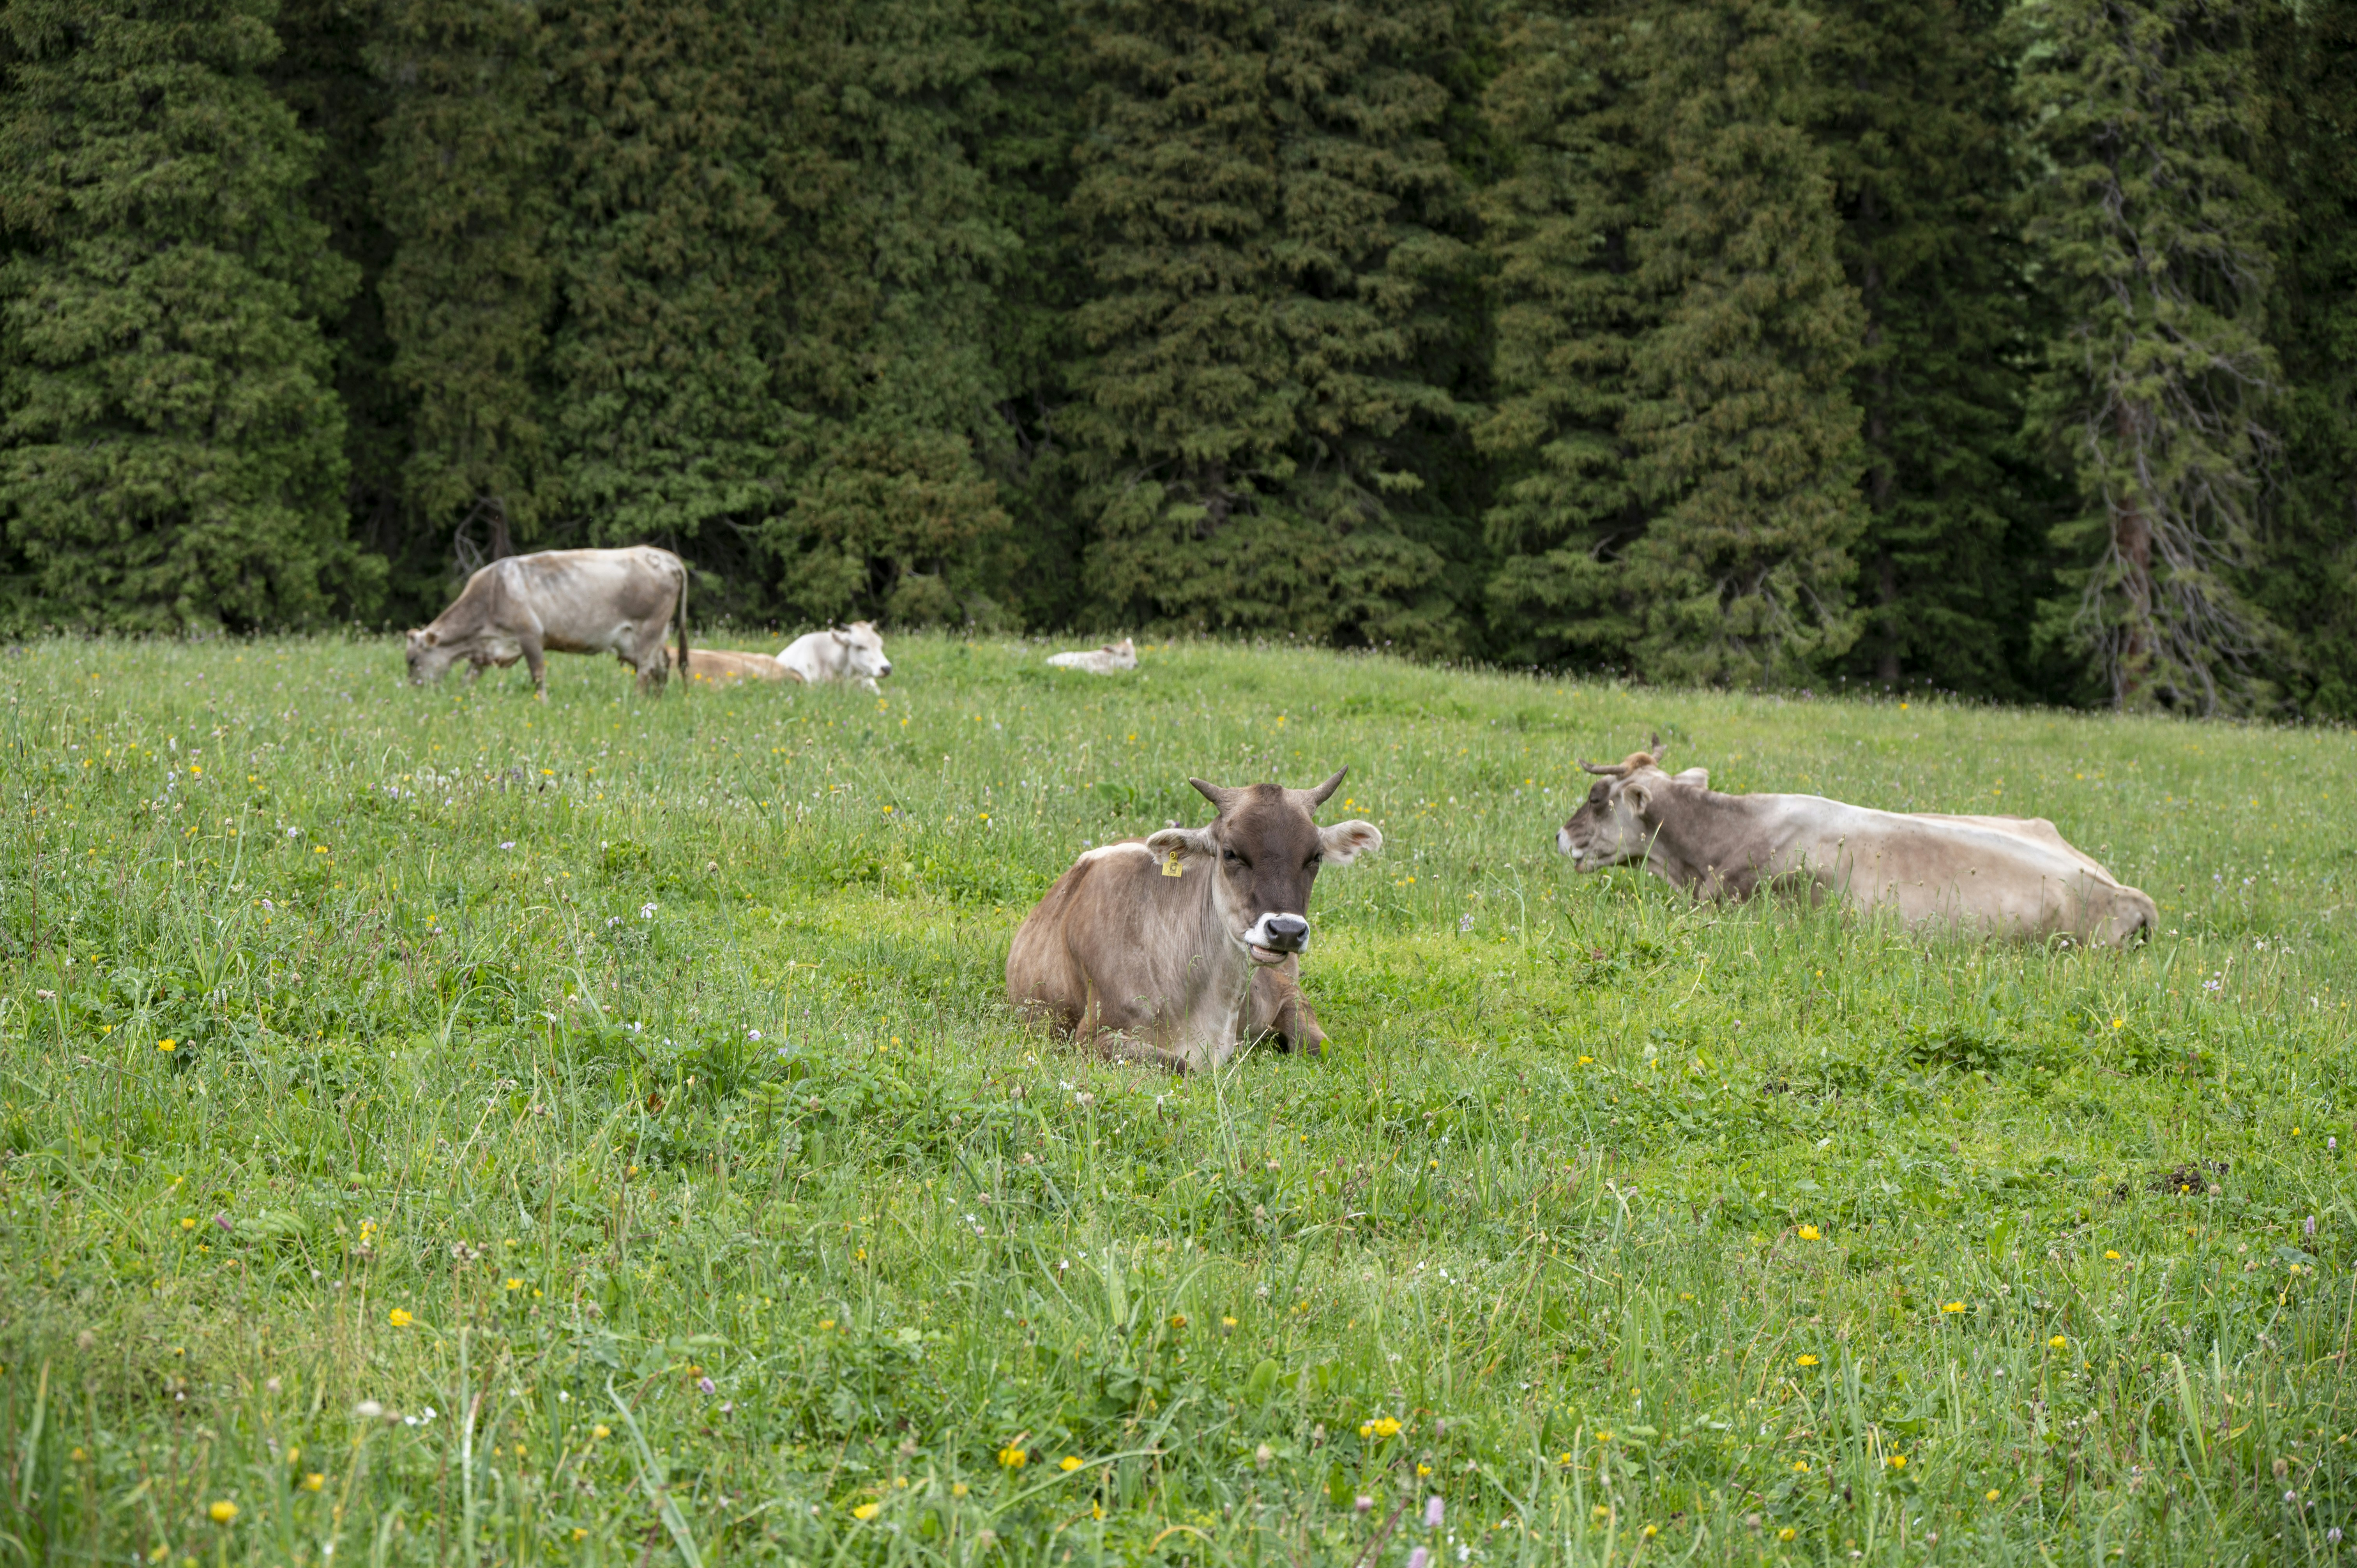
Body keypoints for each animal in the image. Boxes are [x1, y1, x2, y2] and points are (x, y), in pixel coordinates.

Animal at [406, 547, 687, 699]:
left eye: (412, 660)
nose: (413, 690)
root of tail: (664, 556)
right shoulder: (488, 649)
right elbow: (469, 678)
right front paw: (463, 698)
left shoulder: (530, 634)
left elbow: (538, 674)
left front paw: (543, 703)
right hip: (653, 635)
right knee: (662, 666)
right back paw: (655, 701)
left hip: (649, 629)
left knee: (646, 668)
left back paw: (638, 700)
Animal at [1006, 771, 1380, 1071]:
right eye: (1230, 853)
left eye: (1316, 856)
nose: (1286, 931)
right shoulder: (1096, 1035)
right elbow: (1185, 1066)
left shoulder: (1288, 991)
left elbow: (1317, 1046)